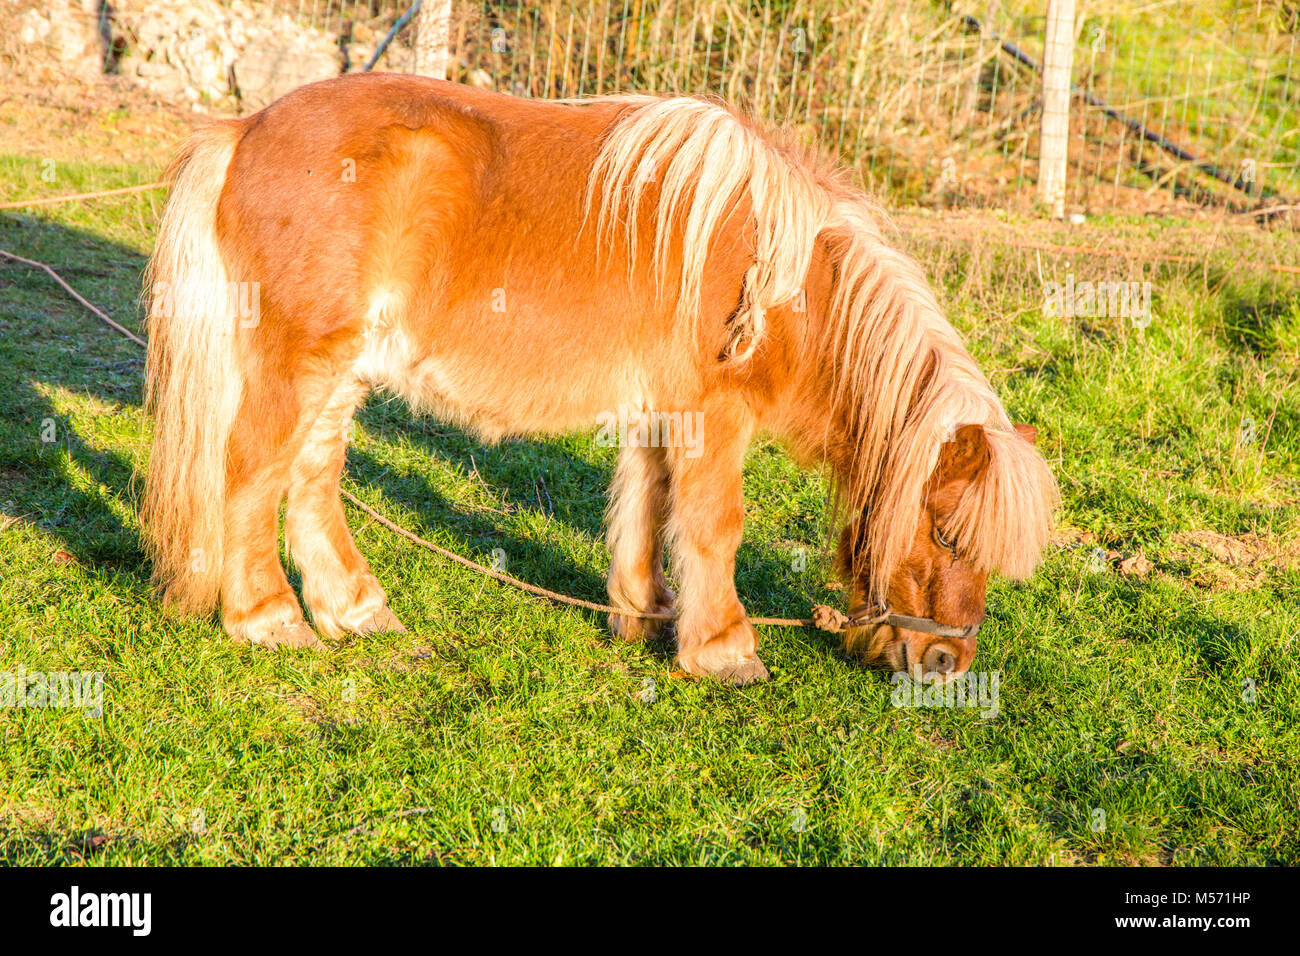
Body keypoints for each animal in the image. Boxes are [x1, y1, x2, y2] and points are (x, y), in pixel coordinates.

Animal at [140, 73, 1057, 685]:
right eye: (947, 537)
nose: (945, 660)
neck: (779, 281)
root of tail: (244, 131)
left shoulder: (661, 414)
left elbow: (646, 510)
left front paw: (646, 616)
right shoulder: (712, 417)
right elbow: (714, 525)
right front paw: (724, 648)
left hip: (339, 371)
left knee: (311, 476)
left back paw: (354, 609)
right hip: (301, 364)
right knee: (252, 473)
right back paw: (267, 620)